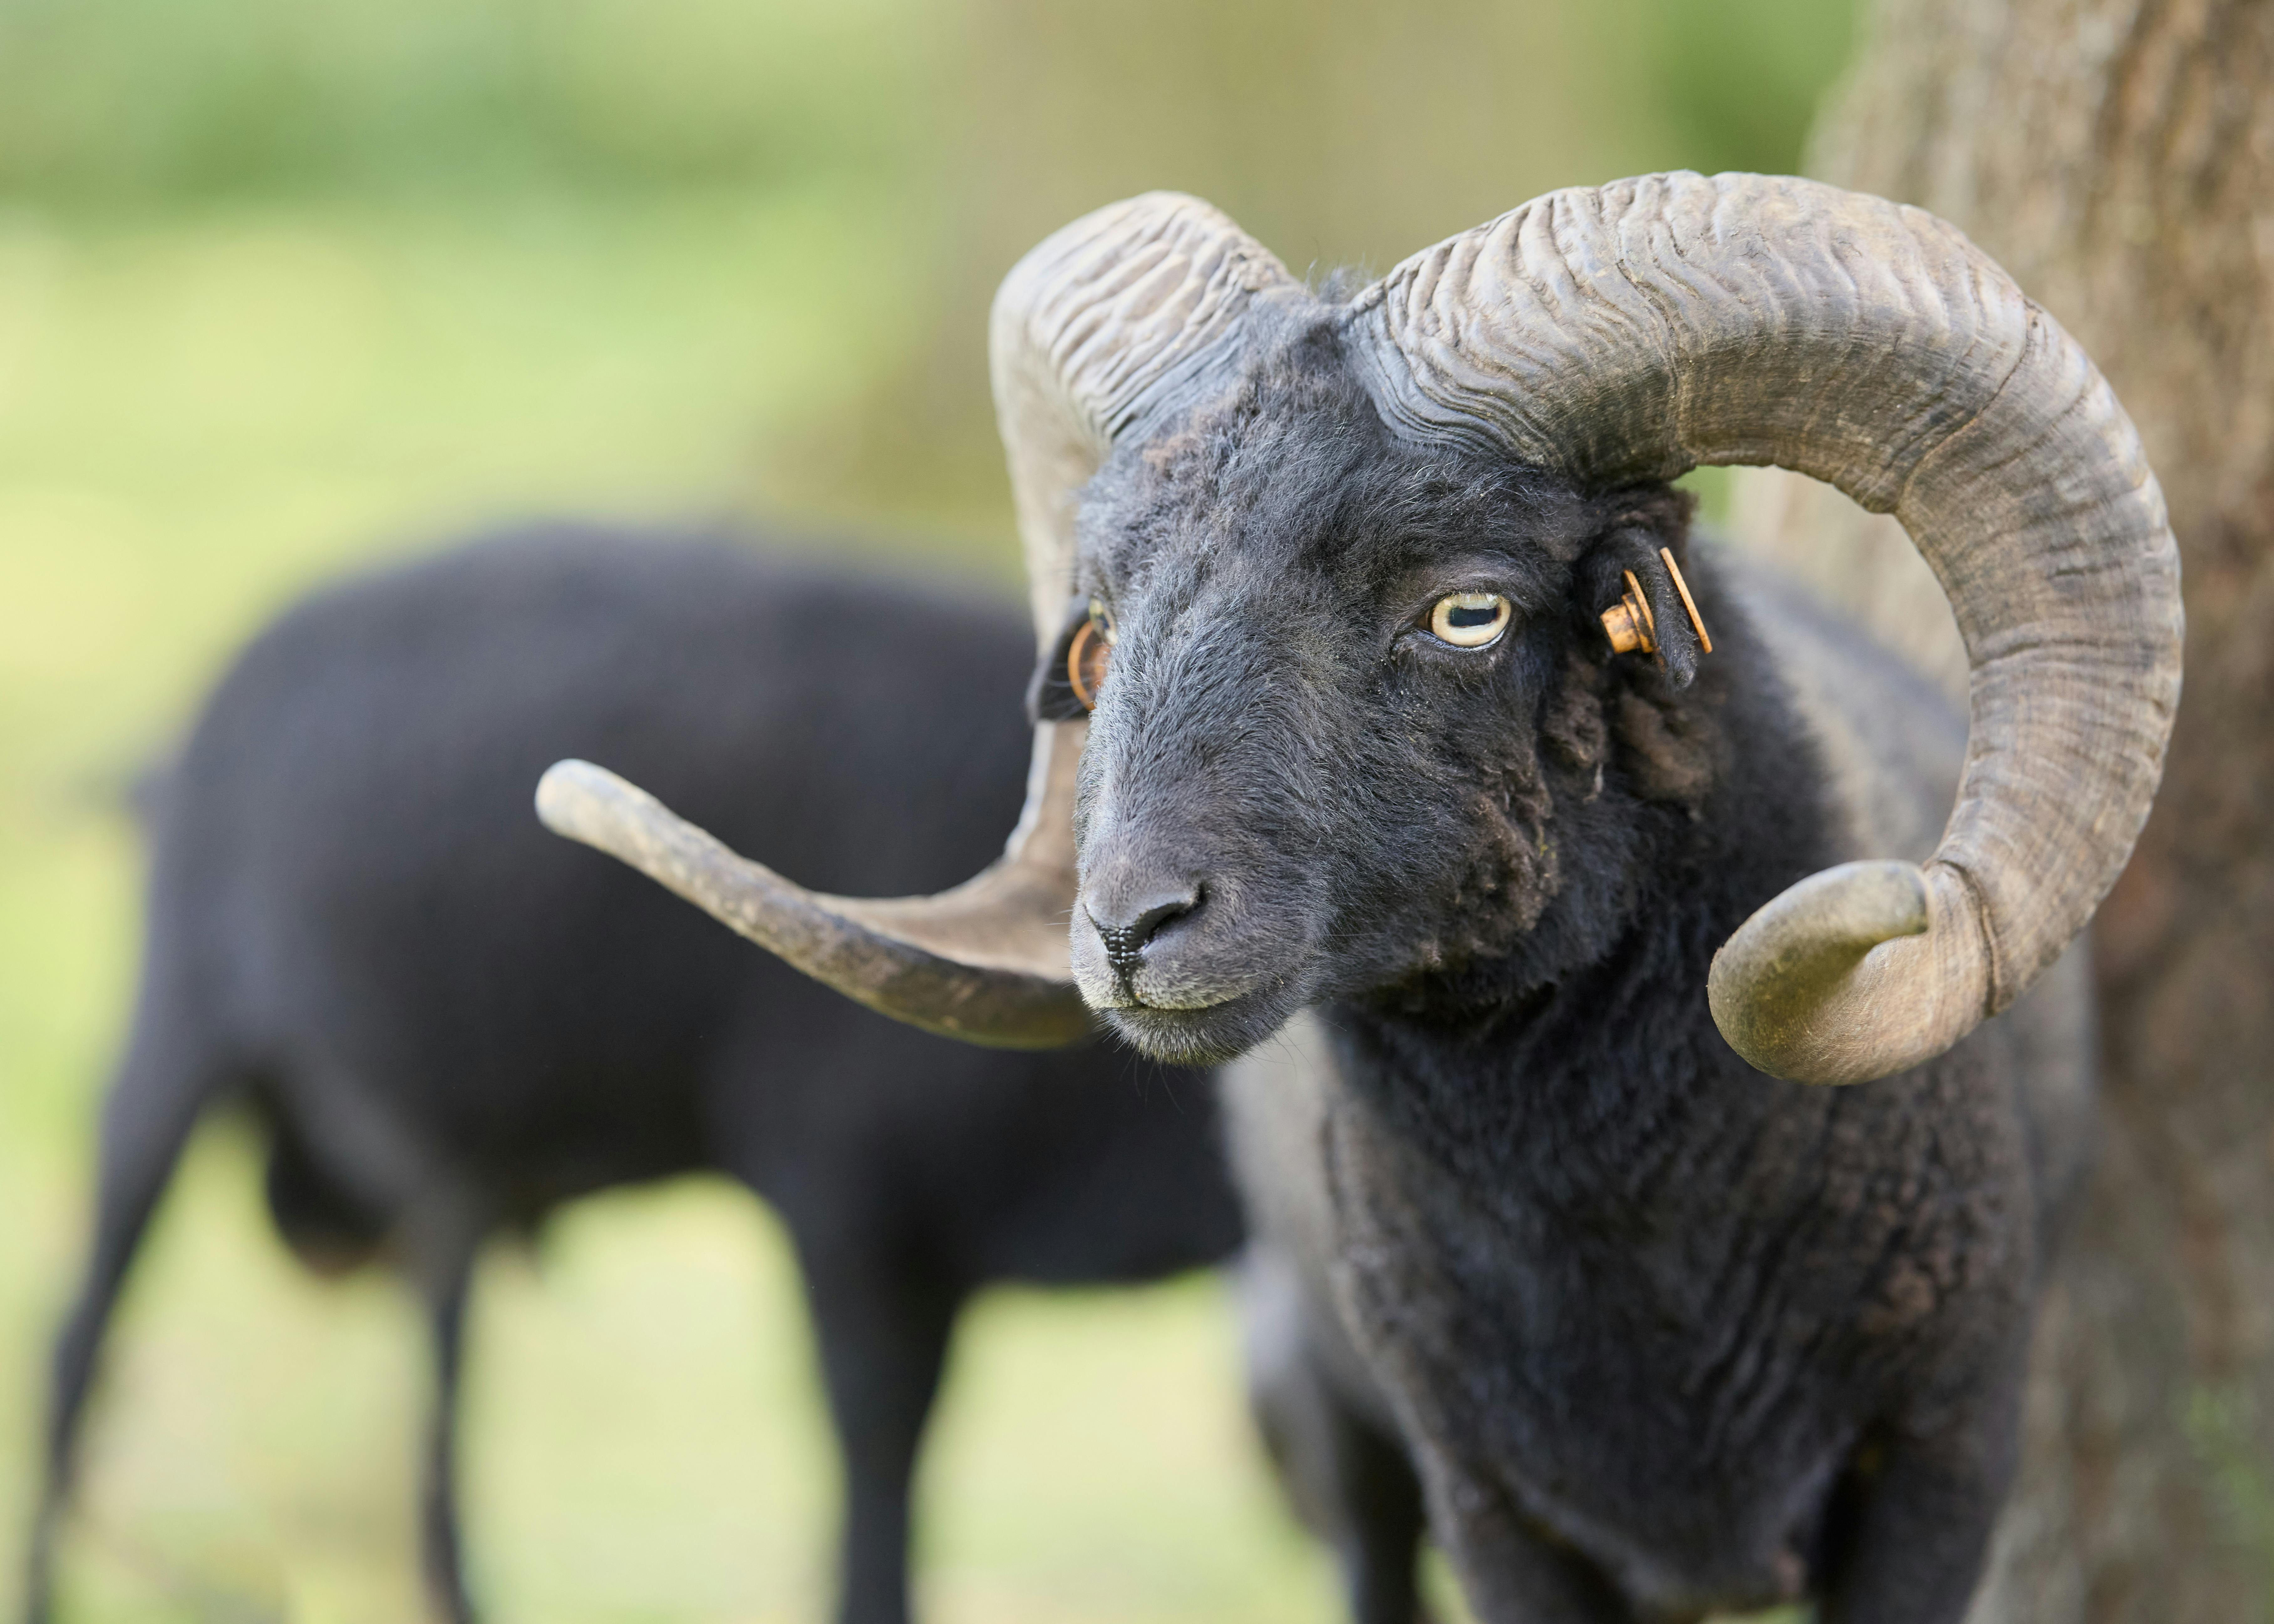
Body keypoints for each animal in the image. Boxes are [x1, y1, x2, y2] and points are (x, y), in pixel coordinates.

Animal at [23, 528, 1258, 1624]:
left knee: (433, 1427)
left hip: (433, 1188)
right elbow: (873, 1492)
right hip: (175, 1036)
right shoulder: (847, 1209)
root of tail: (168, 750)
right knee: (77, 1351)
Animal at [536, 173, 2183, 1623]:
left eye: (1468, 609)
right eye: (1098, 629)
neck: (1643, 1250)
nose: (1133, 927)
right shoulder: (1491, 1506)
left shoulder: (1941, 1465)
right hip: (1335, 1425)